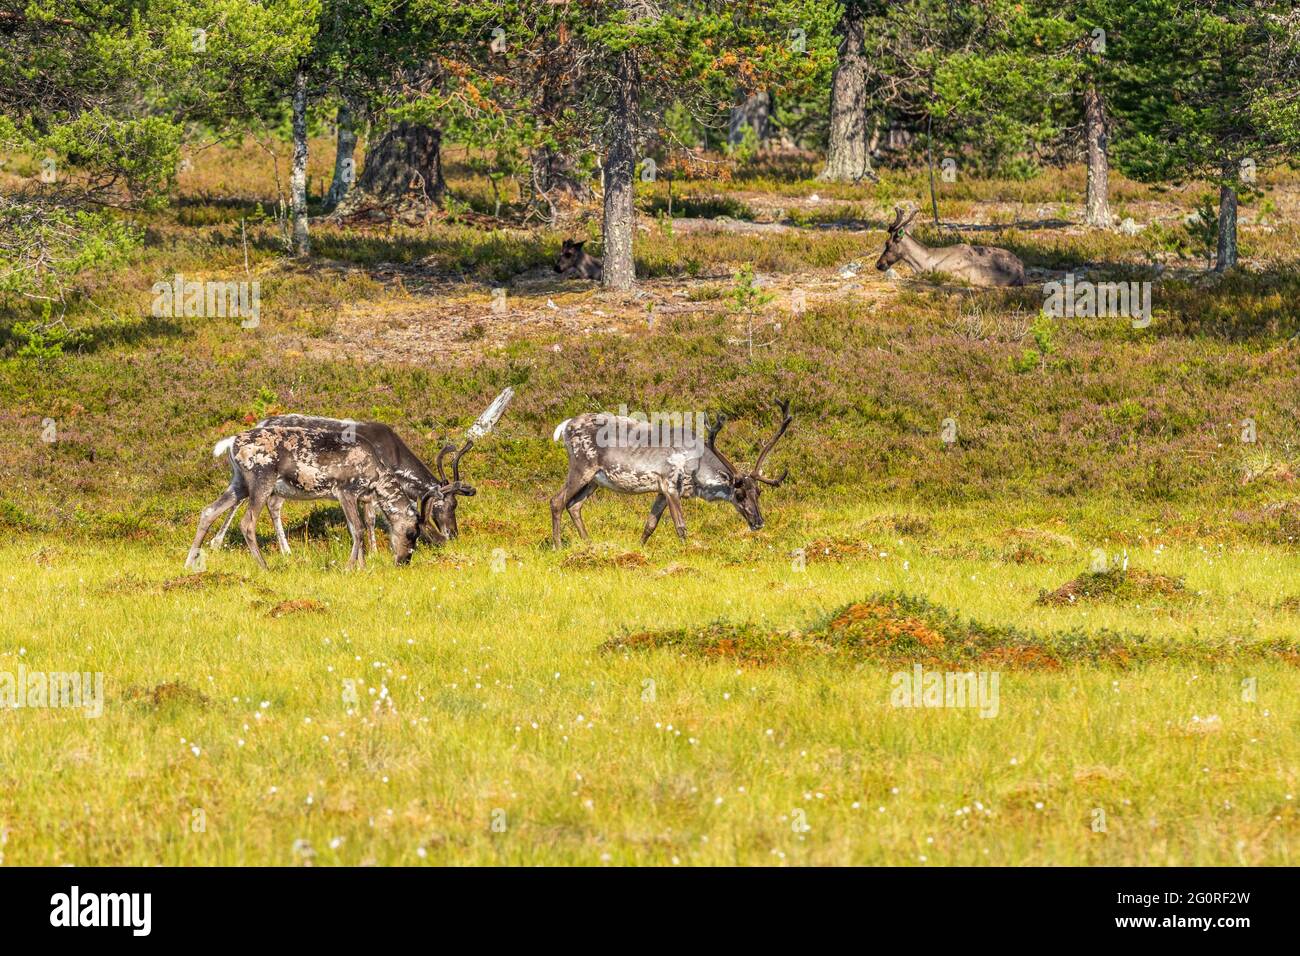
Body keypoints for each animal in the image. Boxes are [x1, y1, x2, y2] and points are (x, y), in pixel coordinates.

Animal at [186, 426, 441, 570]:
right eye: (412, 533)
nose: (403, 561)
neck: (376, 477)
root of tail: (231, 443)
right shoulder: (346, 491)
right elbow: (357, 529)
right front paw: (350, 567)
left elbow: (357, 529)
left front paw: (361, 566)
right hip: (261, 481)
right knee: (246, 522)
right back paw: (265, 566)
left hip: (238, 482)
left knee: (208, 511)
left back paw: (189, 563)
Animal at [208, 416, 476, 554]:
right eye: (451, 505)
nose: (453, 534)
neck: (396, 462)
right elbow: (370, 520)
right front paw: (375, 551)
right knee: (264, 506)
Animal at [549, 399, 793, 548]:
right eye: (739, 495)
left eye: (758, 492)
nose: (759, 522)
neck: (696, 468)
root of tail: (565, 425)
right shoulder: (670, 485)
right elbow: (681, 526)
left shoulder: (660, 491)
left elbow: (650, 525)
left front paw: (639, 549)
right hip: (581, 468)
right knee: (557, 501)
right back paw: (558, 546)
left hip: (595, 480)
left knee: (574, 505)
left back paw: (589, 544)